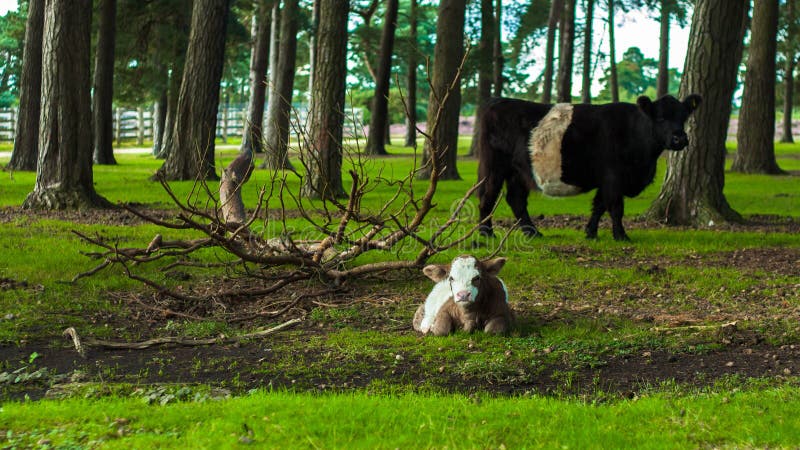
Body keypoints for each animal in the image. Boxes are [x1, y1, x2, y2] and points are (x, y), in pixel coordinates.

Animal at [477, 94, 702, 241]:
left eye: (684, 118)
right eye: (661, 118)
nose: (680, 139)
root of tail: (497, 101)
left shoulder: (607, 179)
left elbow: (599, 205)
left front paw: (591, 233)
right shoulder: (613, 177)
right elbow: (615, 207)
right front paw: (621, 236)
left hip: (518, 172)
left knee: (516, 200)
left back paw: (533, 233)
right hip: (494, 166)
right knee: (488, 196)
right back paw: (486, 233)